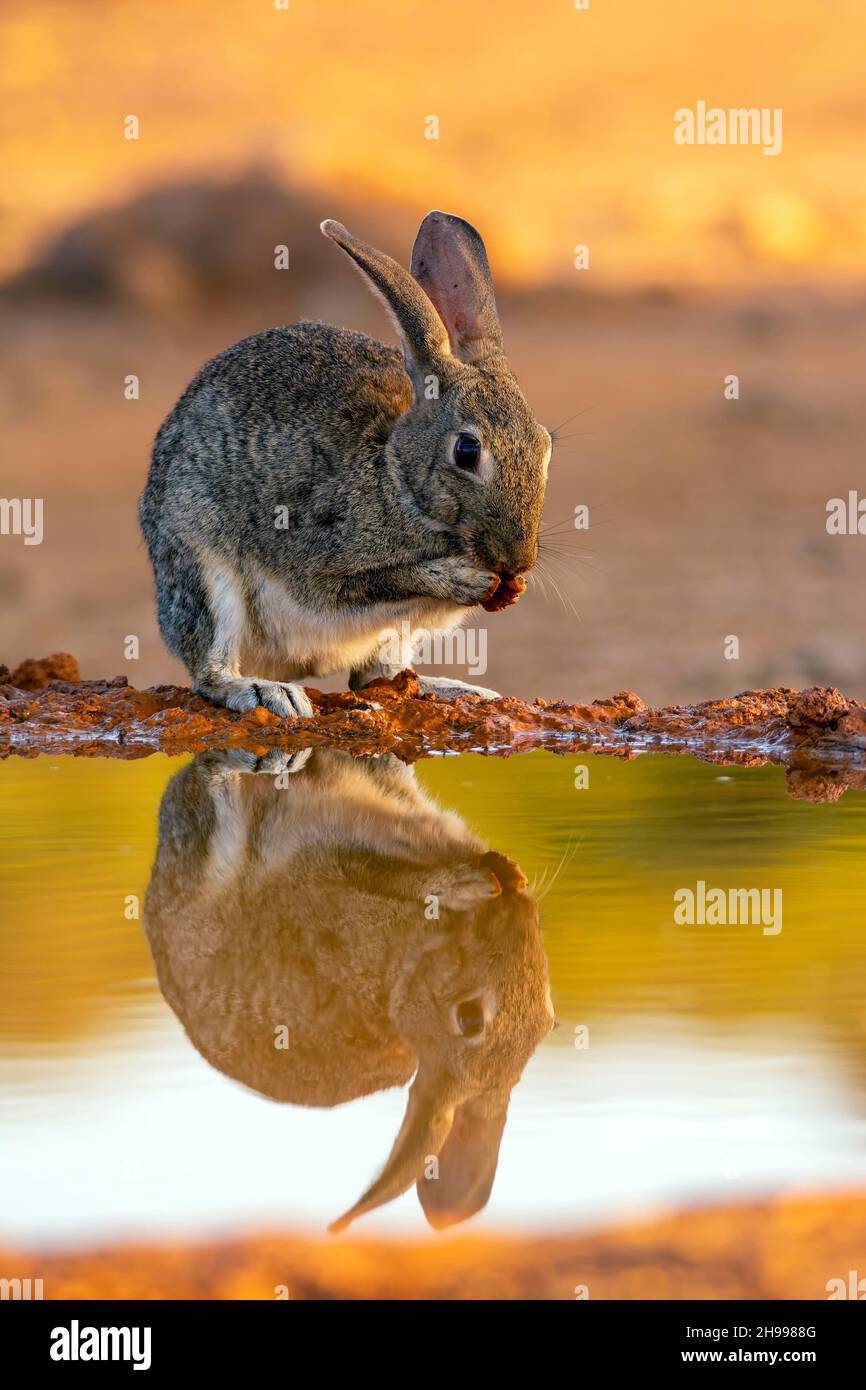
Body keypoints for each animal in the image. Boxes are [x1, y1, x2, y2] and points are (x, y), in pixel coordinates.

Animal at [139, 211, 552, 715]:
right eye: (467, 451)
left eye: (546, 446)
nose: (517, 561)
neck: (399, 479)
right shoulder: (319, 560)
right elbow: (381, 580)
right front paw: (462, 579)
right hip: (204, 566)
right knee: (209, 670)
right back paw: (267, 692)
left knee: (375, 676)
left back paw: (458, 690)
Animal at [142, 746, 555, 1230]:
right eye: (469, 1017)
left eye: (550, 1023)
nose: (519, 902)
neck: (401, 976)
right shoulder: (327, 868)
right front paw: (469, 883)